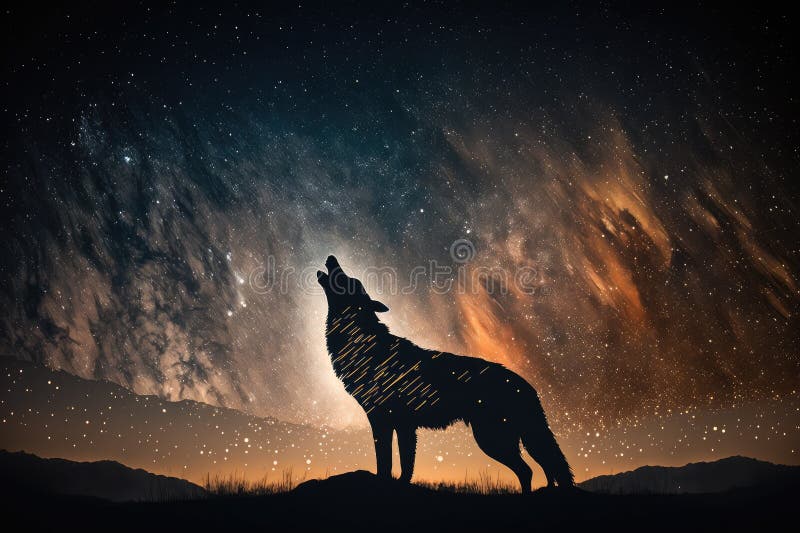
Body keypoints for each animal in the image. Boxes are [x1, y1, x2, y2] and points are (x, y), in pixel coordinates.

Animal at [317, 255, 573, 492]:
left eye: (348, 280)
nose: (331, 257)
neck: (364, 343)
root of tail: (528, 386)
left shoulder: (387, 421)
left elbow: (388, 463)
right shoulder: (397, 423)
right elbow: (401, 464)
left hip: (490, 439)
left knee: (530, 469)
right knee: (539, 469)